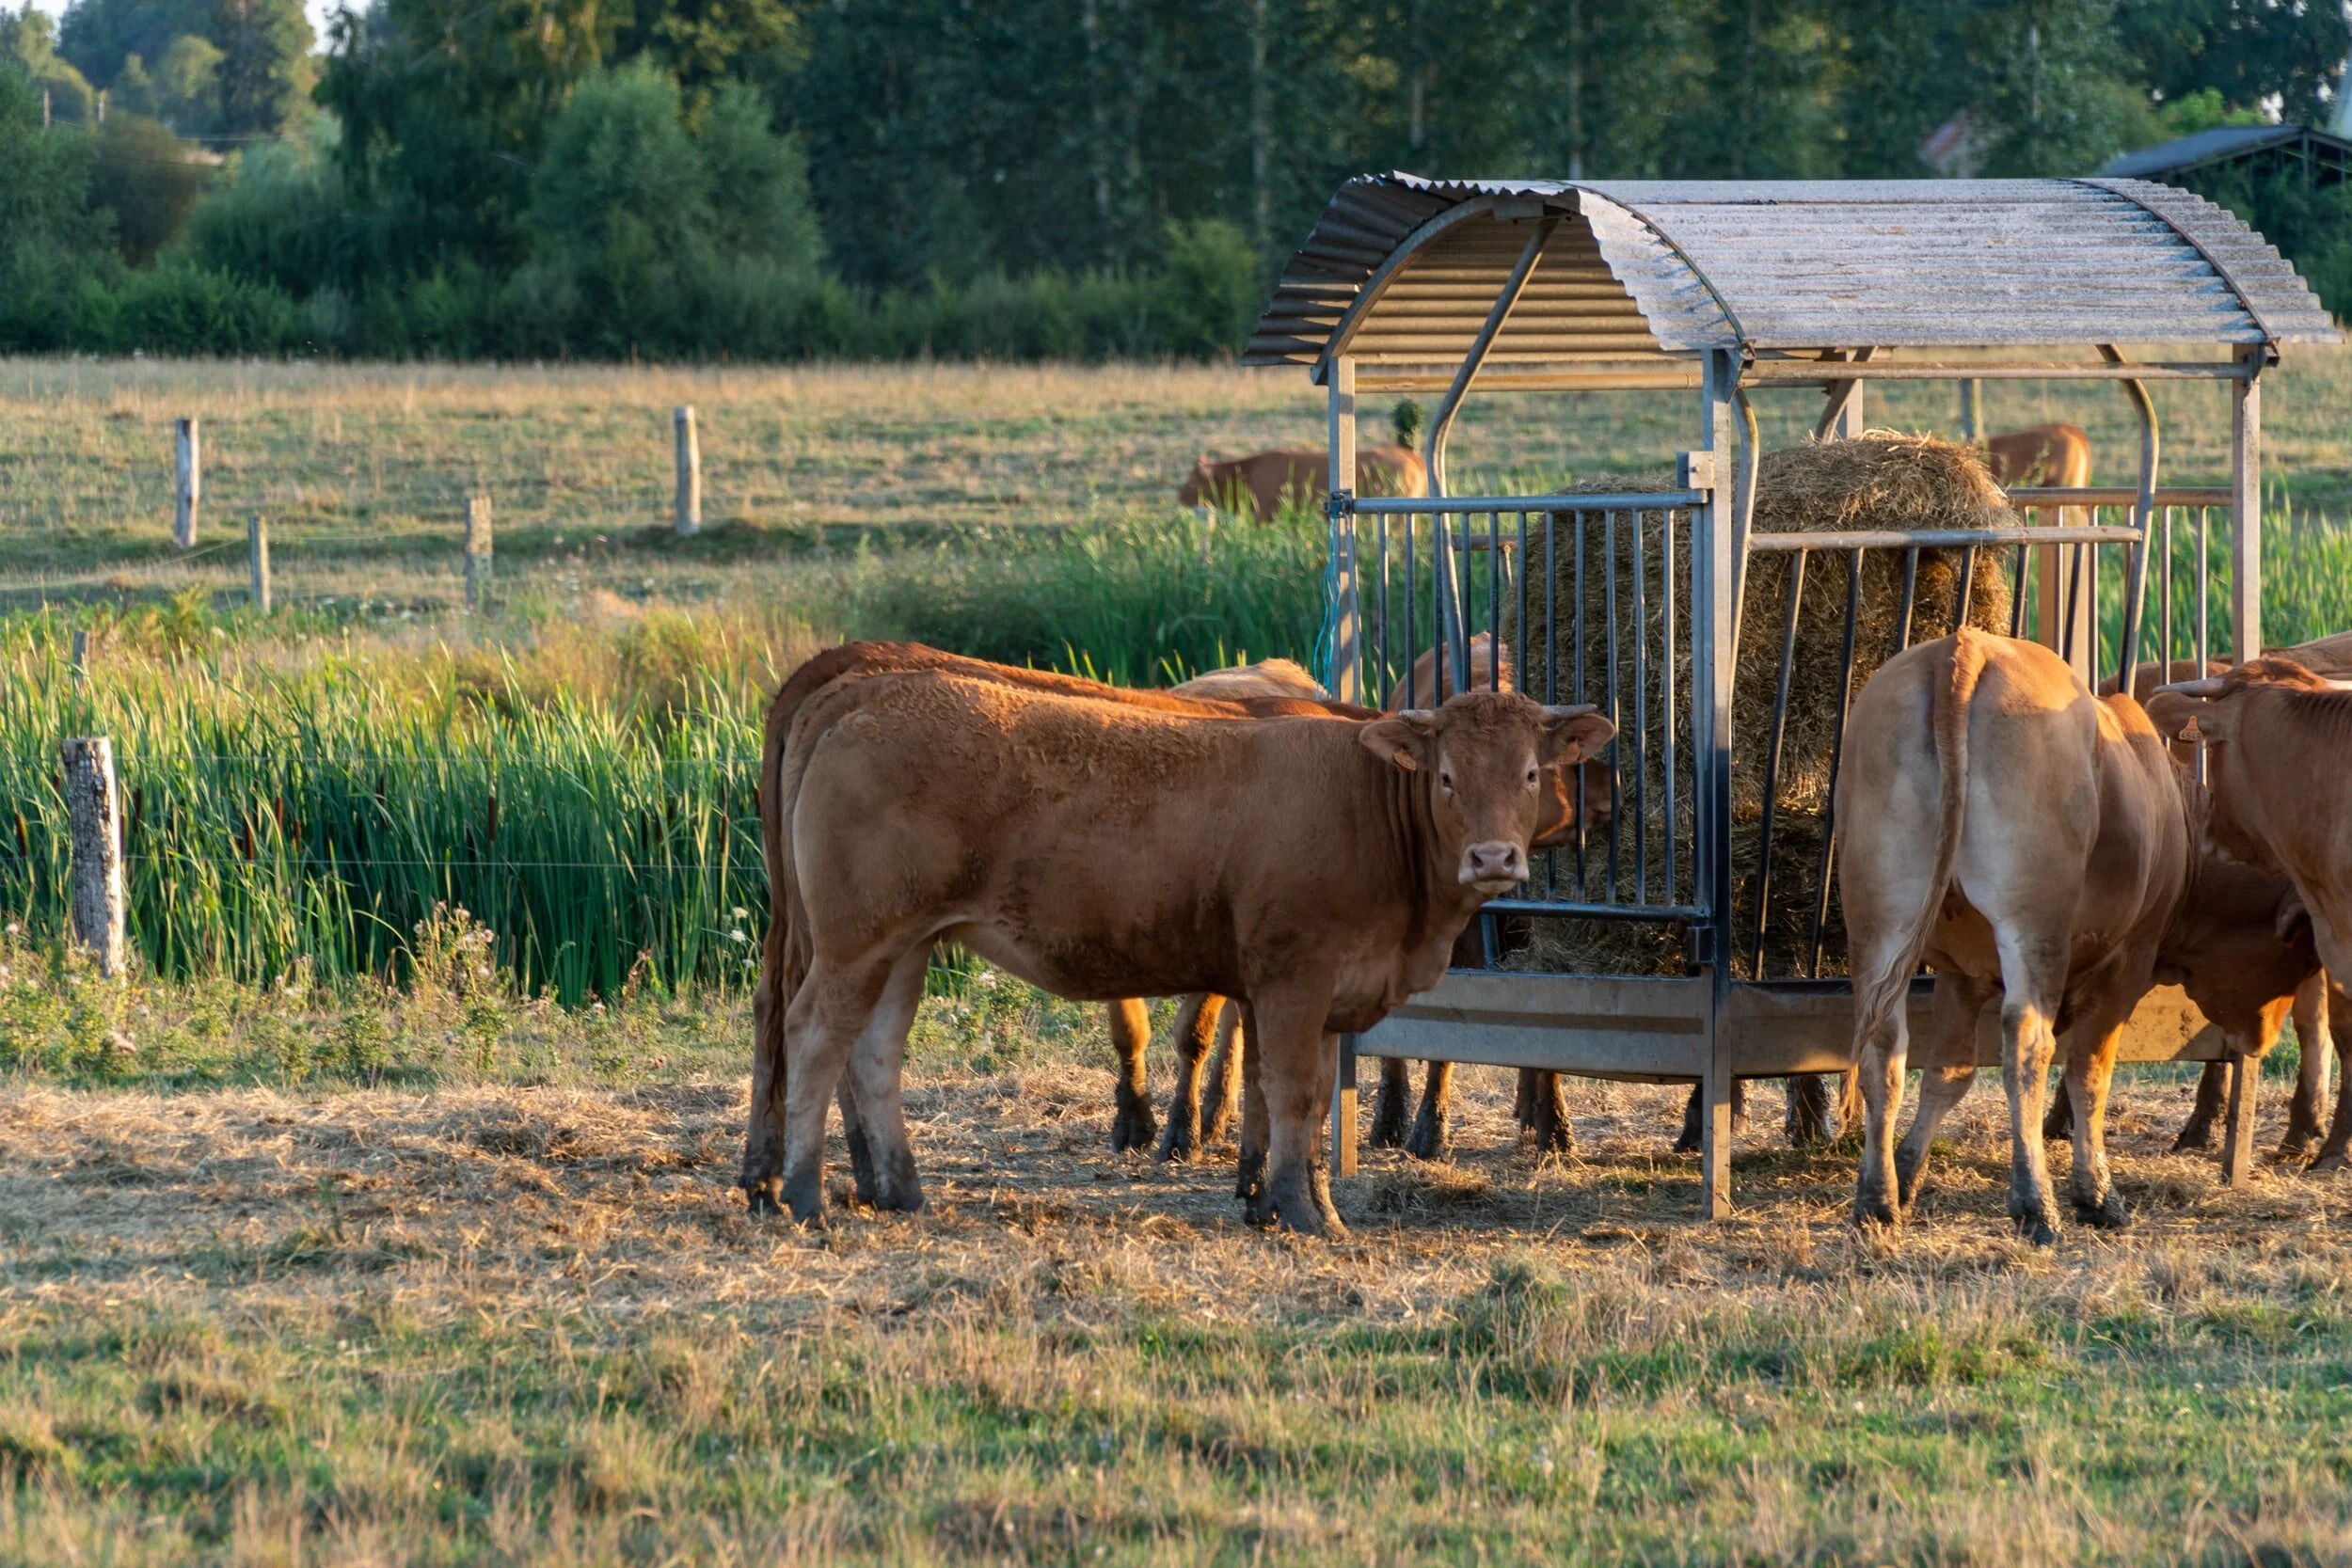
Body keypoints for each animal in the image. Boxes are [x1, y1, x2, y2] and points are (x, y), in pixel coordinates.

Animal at [768, 670, 1616, 1232]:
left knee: (875, 1052)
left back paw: (903, 1190)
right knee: (813, 1037)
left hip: (903, 945)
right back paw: (802, 1194)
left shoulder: (1329, 990)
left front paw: (1297, 1201)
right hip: (855, 943)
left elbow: (1303, 1102)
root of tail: (866, 695)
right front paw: (1300, 1211)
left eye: (1531, 771)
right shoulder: (1294, 976)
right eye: (1444, 775)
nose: (1493, 858)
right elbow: (1292, 1094)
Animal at [1838, 629, 2194, 1243]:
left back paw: (1877, 1201)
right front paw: (2097, 1194)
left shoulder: (1960, 974)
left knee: (1884, 1045)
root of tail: (1965, 646)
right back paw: (2036, 1204)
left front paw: (1907, 1173)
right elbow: (2089, 1074)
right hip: (2033, 921)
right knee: (2028, 1044)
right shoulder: (2130, 960)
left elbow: (1947, 1071)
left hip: (1881, 917)